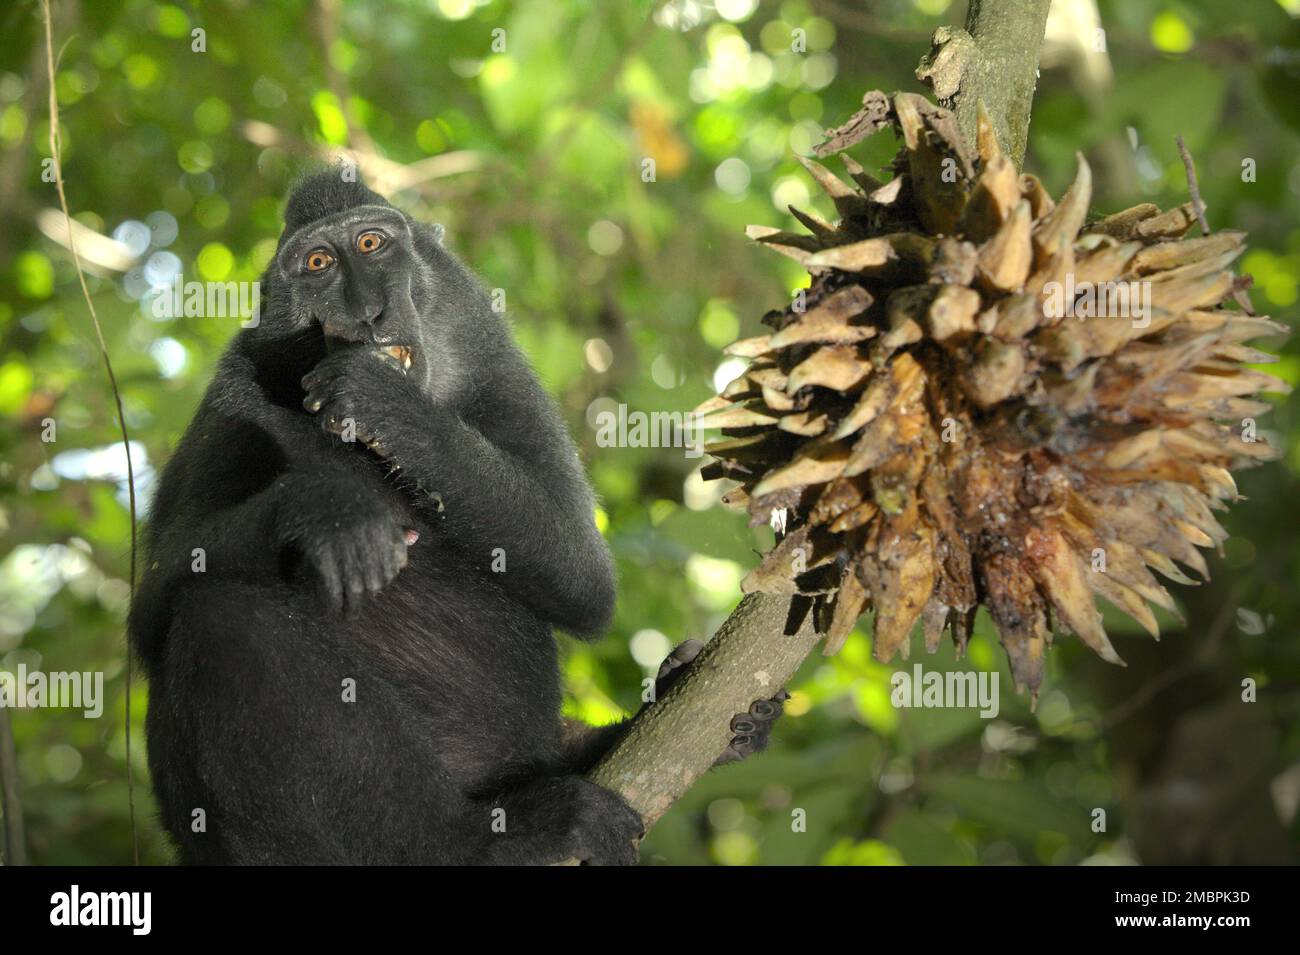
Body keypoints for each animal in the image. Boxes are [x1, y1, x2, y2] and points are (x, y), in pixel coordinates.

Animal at [128, 170, 783, 864]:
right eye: (318, 263)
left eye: (371, 242)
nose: (367, 312)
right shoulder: (230, 396)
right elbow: (157, 600)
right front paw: (332, 507)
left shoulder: (499, 368)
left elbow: (584, 577)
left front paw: (386, 403)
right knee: (223, 617)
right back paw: (475, 840)